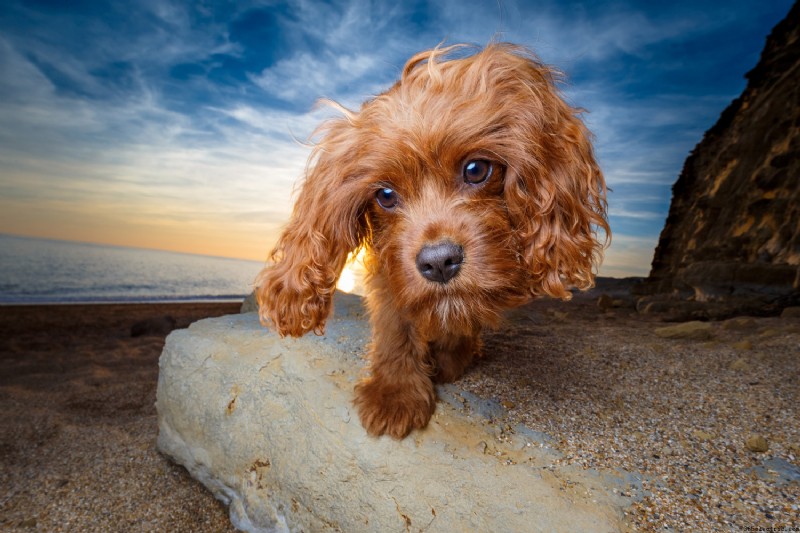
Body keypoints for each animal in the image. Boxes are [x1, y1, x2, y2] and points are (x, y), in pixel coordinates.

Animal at [256, 43, 608, 438]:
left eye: (476, 170)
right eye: (385, 195)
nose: (439, 261)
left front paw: (453, 354)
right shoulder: (386, 266)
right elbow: (394, 321)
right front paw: (396, 391)